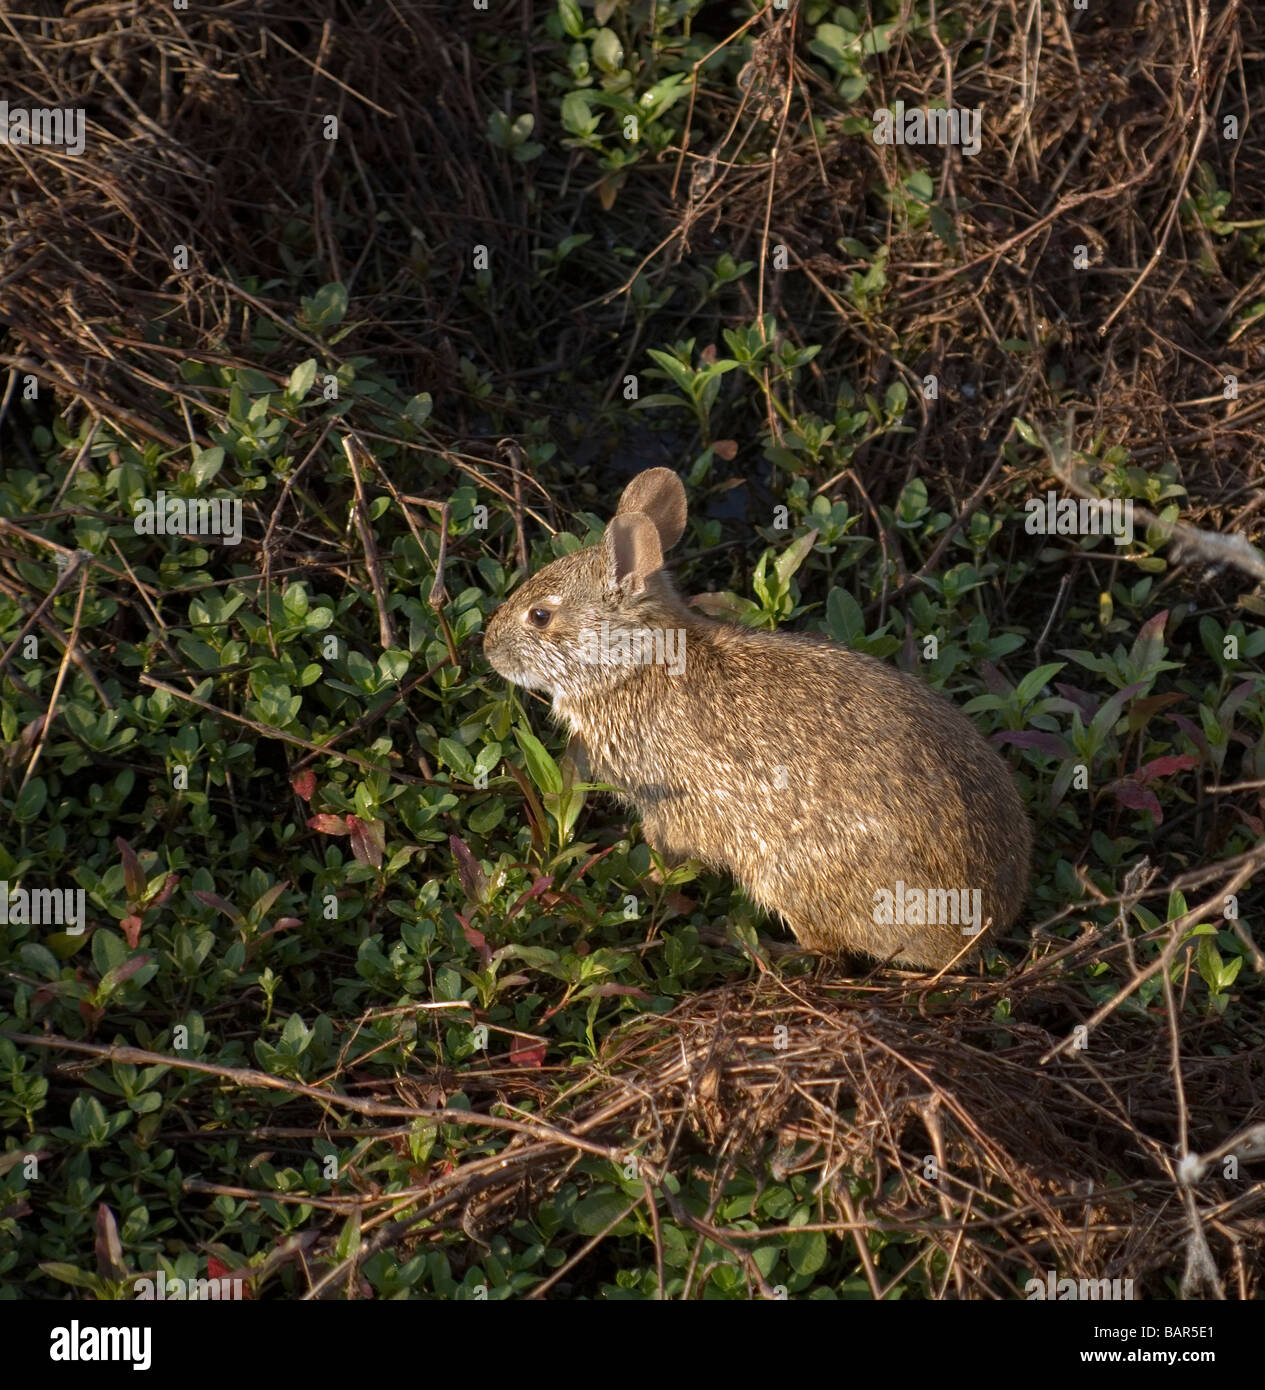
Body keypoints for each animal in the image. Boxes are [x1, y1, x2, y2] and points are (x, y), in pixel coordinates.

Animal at [482, 468, 1031, 970]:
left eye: (540, 616)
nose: (488, 649)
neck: (634, 662)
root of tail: (978, 926)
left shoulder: (668, 808)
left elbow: (668, 856)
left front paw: (642, 882)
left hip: (790, 877)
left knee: (825, 948)